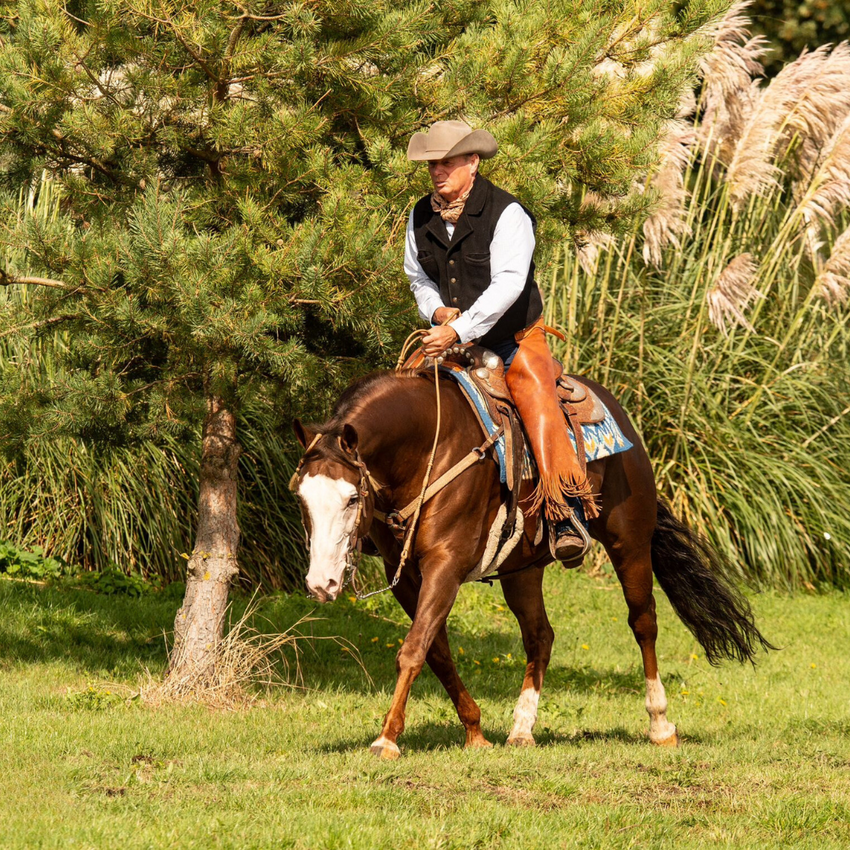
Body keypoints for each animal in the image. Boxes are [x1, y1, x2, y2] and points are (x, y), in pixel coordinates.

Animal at [291, 368, 772, 759]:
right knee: (540, 636)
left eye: (352, 498)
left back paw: (660, 723)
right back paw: (522, 729)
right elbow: (436, 651)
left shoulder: (446, 564)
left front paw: (387, 738)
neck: (430, 446)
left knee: (644, 623)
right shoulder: (407, 577)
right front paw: (475, 731)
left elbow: (413, 650)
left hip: (630, 544)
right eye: (301, 498)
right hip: (523, 571)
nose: (321, 584)